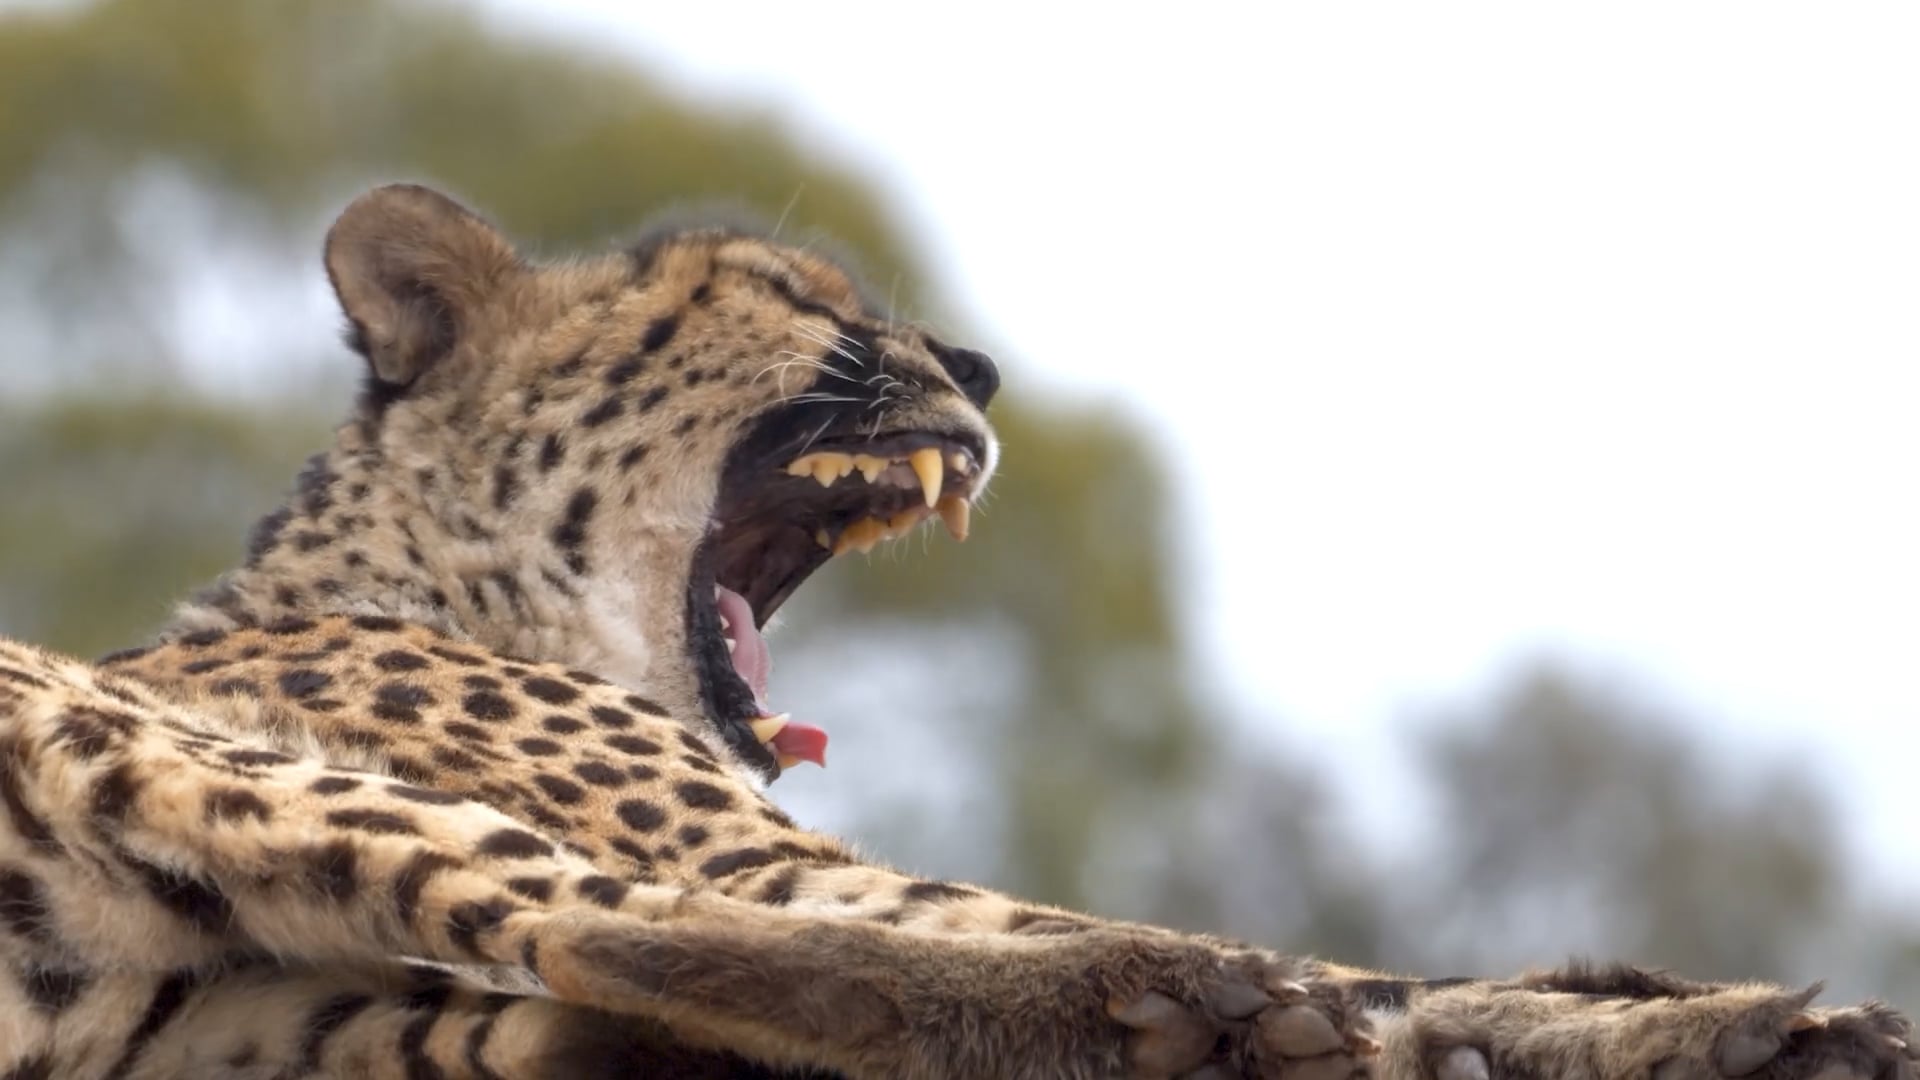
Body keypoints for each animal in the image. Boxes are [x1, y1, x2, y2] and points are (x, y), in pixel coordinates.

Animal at [0, 182, 1909, 1080]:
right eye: (795, 299)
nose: (977, 370)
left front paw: (1627, 993)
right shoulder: (764, 855)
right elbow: (1360, 976)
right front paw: (1731, 1020)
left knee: (573, 989)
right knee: (610, 929)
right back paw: (1176, 1008)